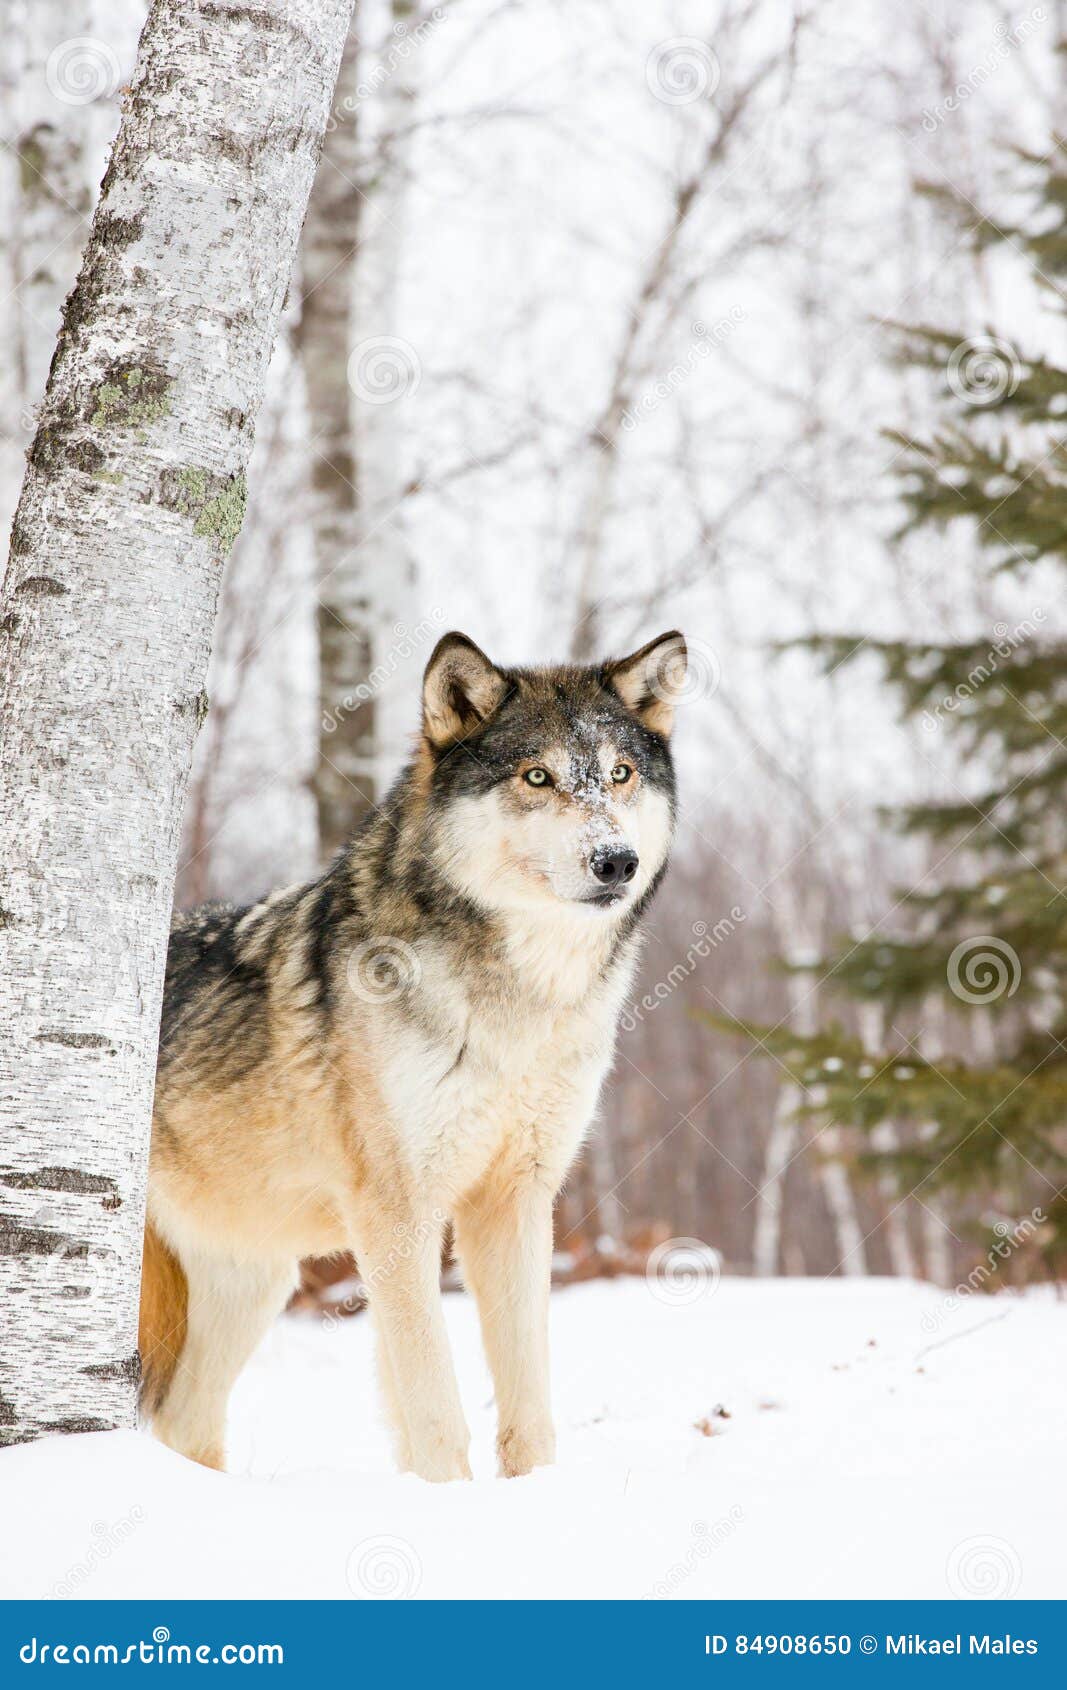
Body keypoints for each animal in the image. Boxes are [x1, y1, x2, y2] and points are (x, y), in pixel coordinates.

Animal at [139, 627, 687, 1481]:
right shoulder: (398, 1213)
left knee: (183, 1423)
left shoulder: (516, 1202)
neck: (517, 1002)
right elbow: (434, 1408)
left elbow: (529, 1409)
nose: (616, 861)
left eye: (620, 775)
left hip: (251, 1281)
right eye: (537, 776)